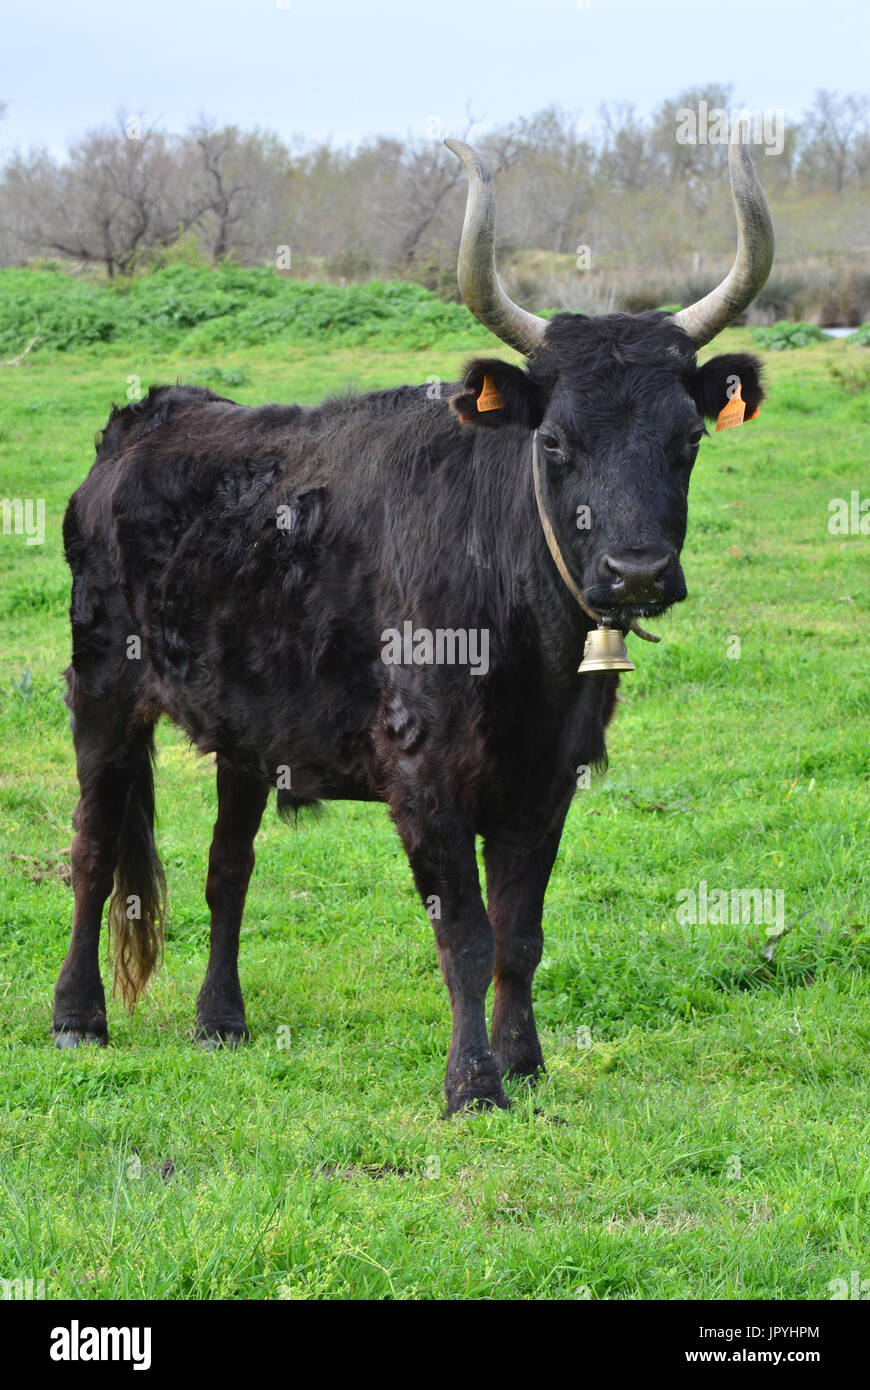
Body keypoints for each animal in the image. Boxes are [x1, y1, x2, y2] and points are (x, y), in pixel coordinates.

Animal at [52, 132, 773, 1114]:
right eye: (555, 441)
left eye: (688, 440)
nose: (638, 571)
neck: (527, 649)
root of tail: (144, 417)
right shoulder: (425, 774)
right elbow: (466, 934)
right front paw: (472, 1085)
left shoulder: (546, 781)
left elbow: (520, 934)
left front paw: (525, 1064)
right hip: (103, 691)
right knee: (92, 851)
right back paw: (77, 1017)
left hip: (246, 730)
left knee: (227, 867)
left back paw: (221, 1020)